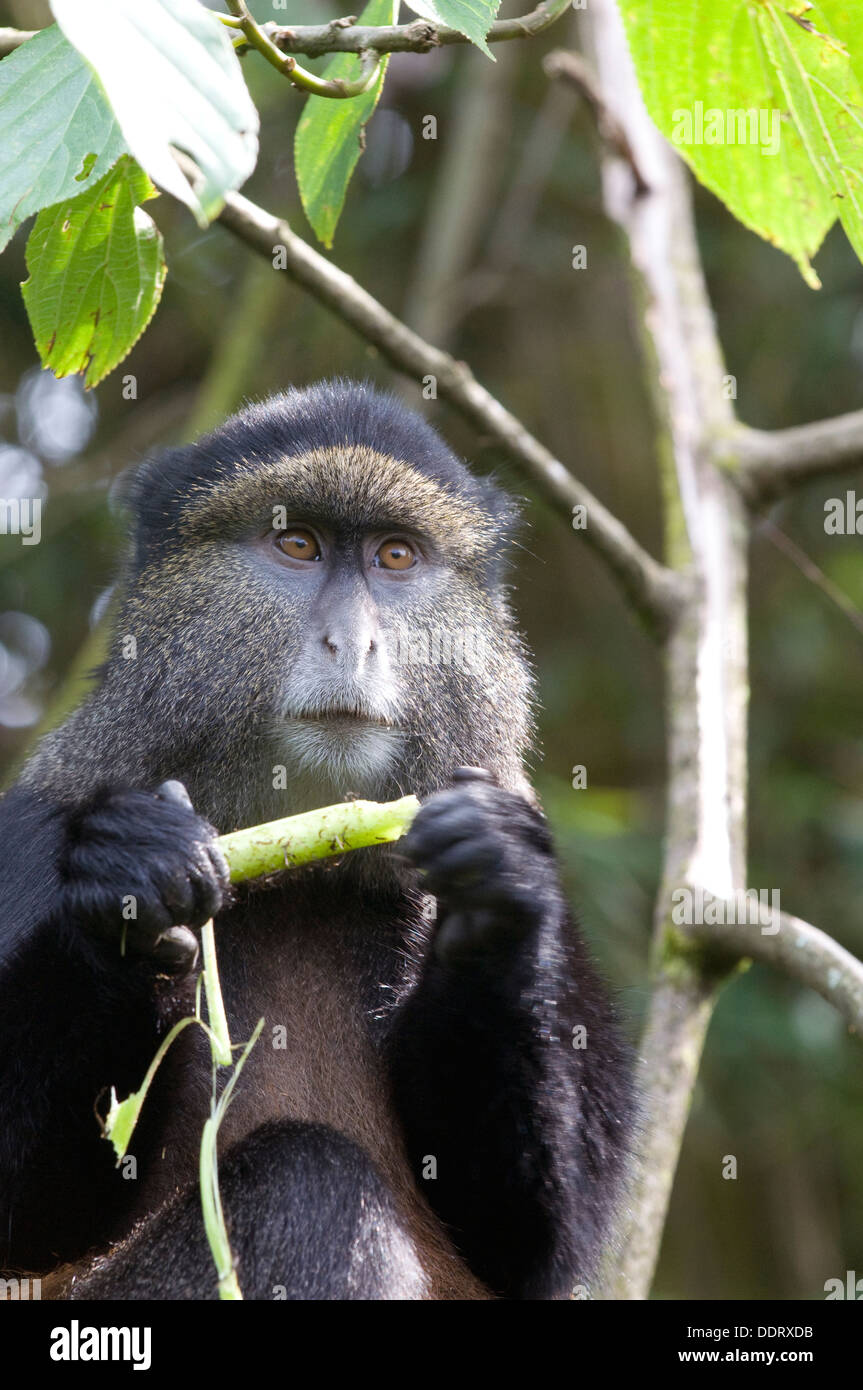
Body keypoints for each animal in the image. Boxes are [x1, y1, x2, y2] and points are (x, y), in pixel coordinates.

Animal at [0, 379, 635, 1300]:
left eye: (395, 556)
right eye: (296, 543)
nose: (352, 640)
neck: (302, 875)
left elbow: (538, 1245)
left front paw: (497, 877)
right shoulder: (29, 834)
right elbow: (33, 1215)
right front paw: (132, 874)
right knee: (309, 1178)